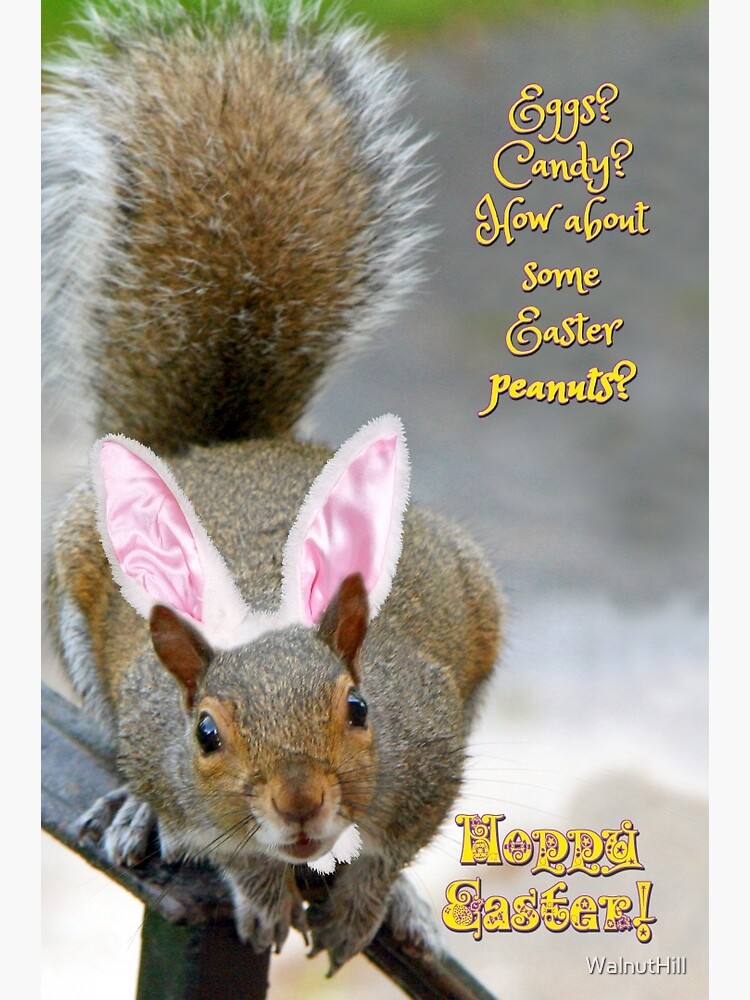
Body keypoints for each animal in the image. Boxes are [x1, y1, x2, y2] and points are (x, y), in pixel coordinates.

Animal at [42, 0, 503, 975]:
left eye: (359, 708)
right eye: (205, 732)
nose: (298, 804)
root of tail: (234, 445)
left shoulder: (429, 748)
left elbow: (394, 842)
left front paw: (369, 899)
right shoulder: (167, 746)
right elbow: (224, 843)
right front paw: (257, 896)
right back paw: (136, 813)